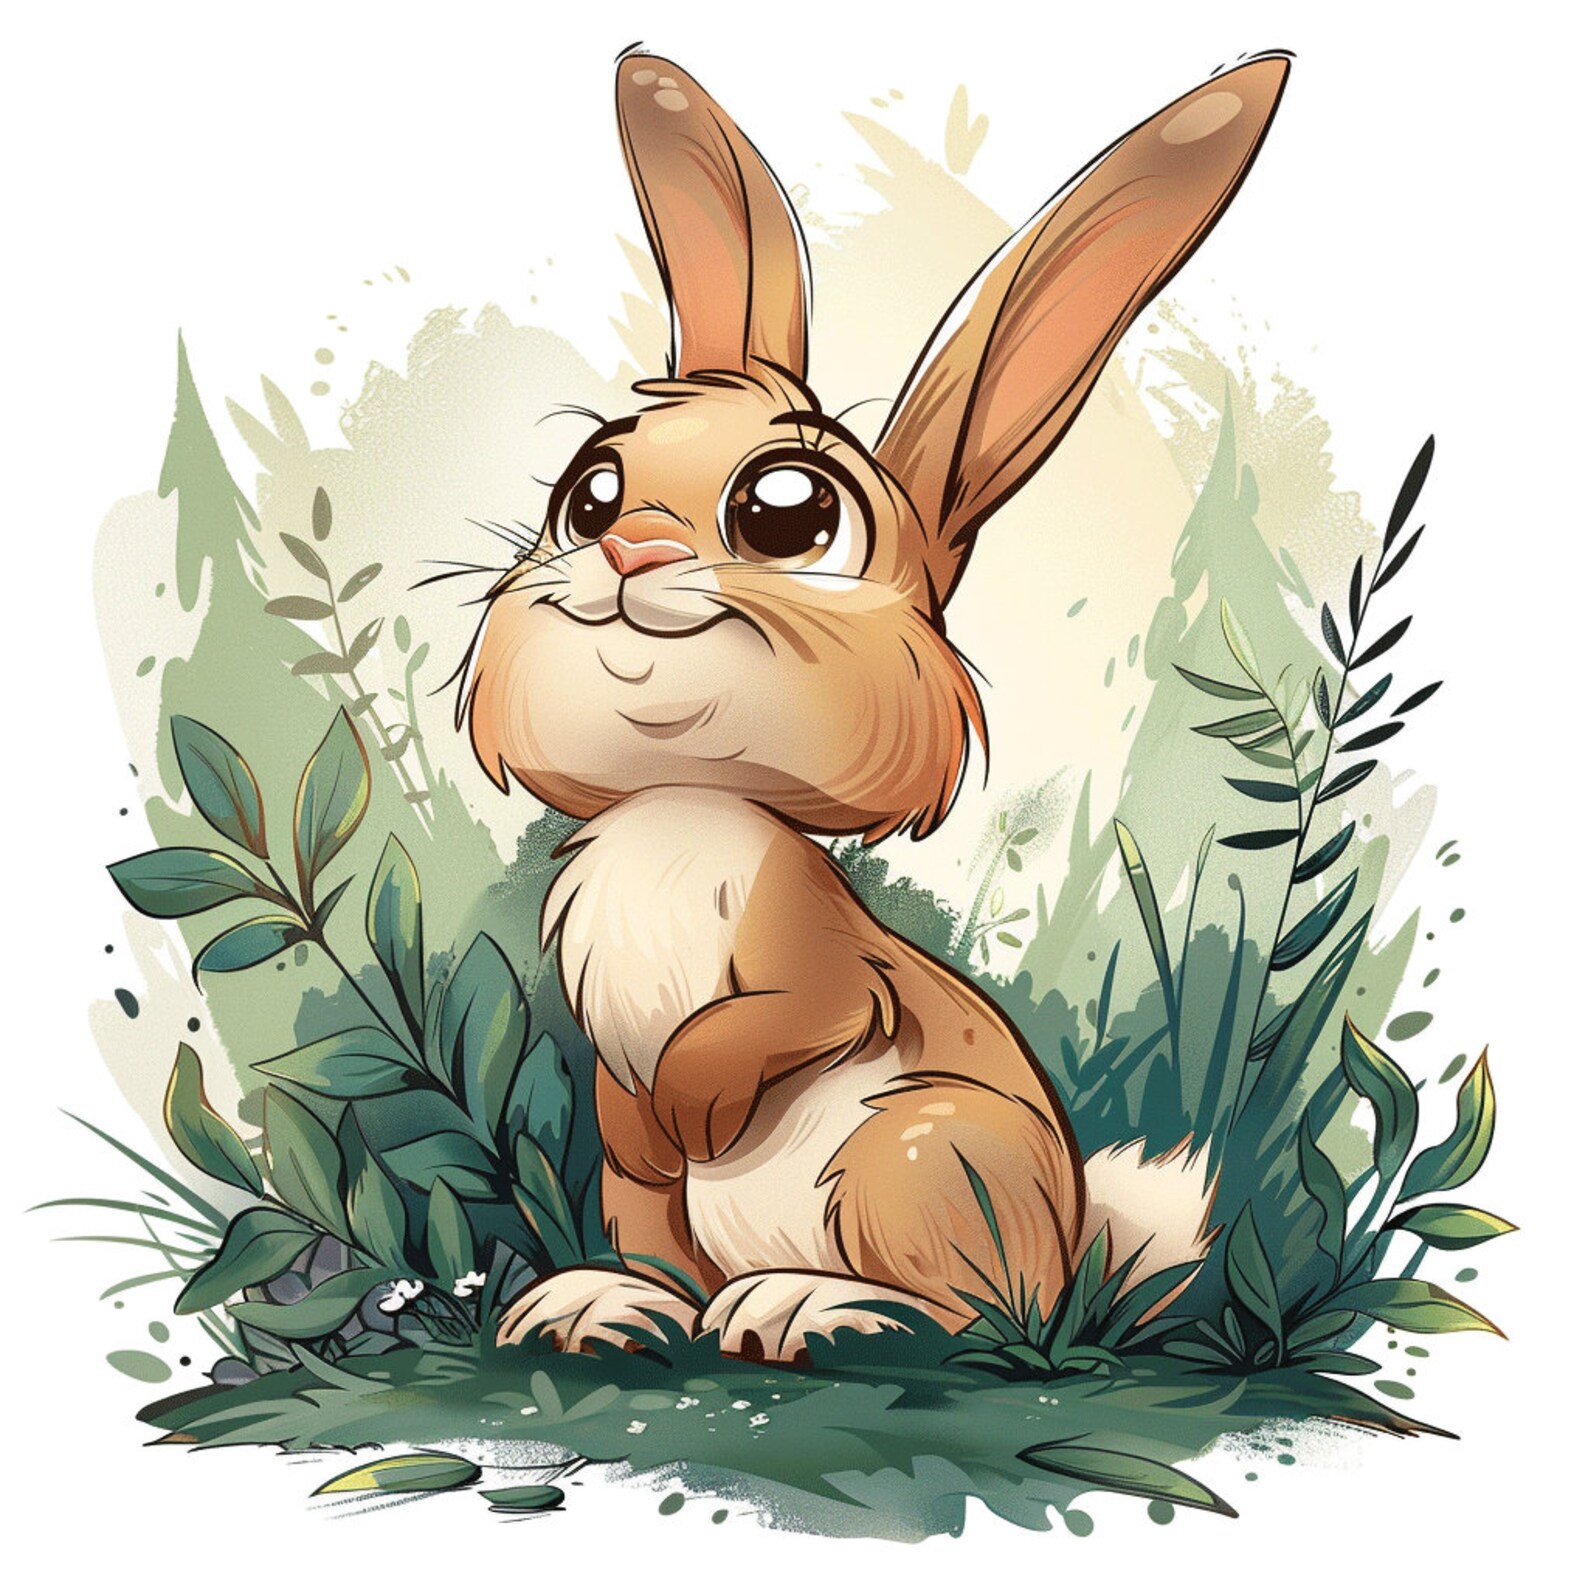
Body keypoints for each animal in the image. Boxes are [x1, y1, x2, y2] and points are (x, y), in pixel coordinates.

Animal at [457, 47, 1289, 1361]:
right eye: (590, 493)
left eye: (788, 511)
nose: (630, 551)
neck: (686, 801)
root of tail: (1069, 1254)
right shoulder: (614, 1082)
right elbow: (630, 1104)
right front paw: (655, 1140)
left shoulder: (817, 951)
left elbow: (801, 1012)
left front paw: (699, 1097)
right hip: (667, 1204)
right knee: (677, 1266)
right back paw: (609, 1305)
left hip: (918, 1150)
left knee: (972, 1319)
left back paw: (808, 1305)